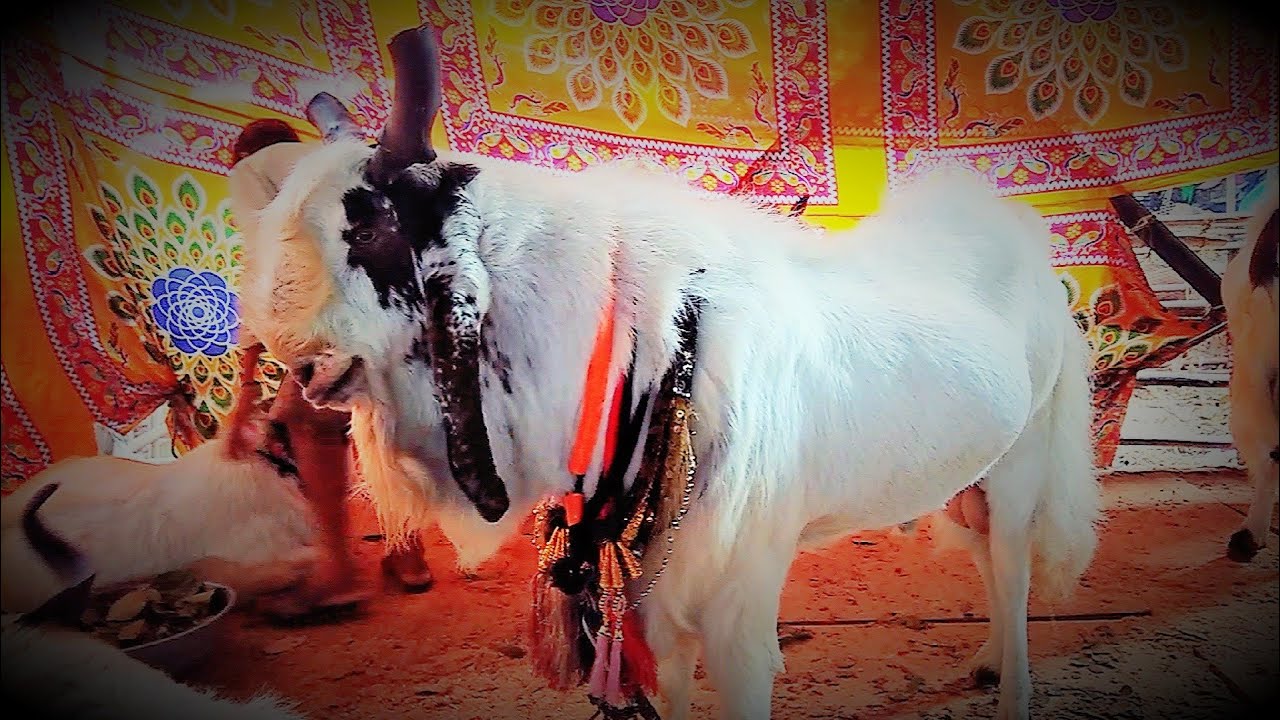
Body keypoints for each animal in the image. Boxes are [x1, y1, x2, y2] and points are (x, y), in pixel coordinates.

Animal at [245, 25, 1101, 720]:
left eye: (369, 225)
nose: (301, 365)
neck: (645, 333)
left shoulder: (740, 608)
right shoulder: (653, 598)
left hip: (1021, 466)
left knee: (1013, 569)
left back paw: (1015, 687)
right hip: (971, 474)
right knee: (988, 557)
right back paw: (988, 659)